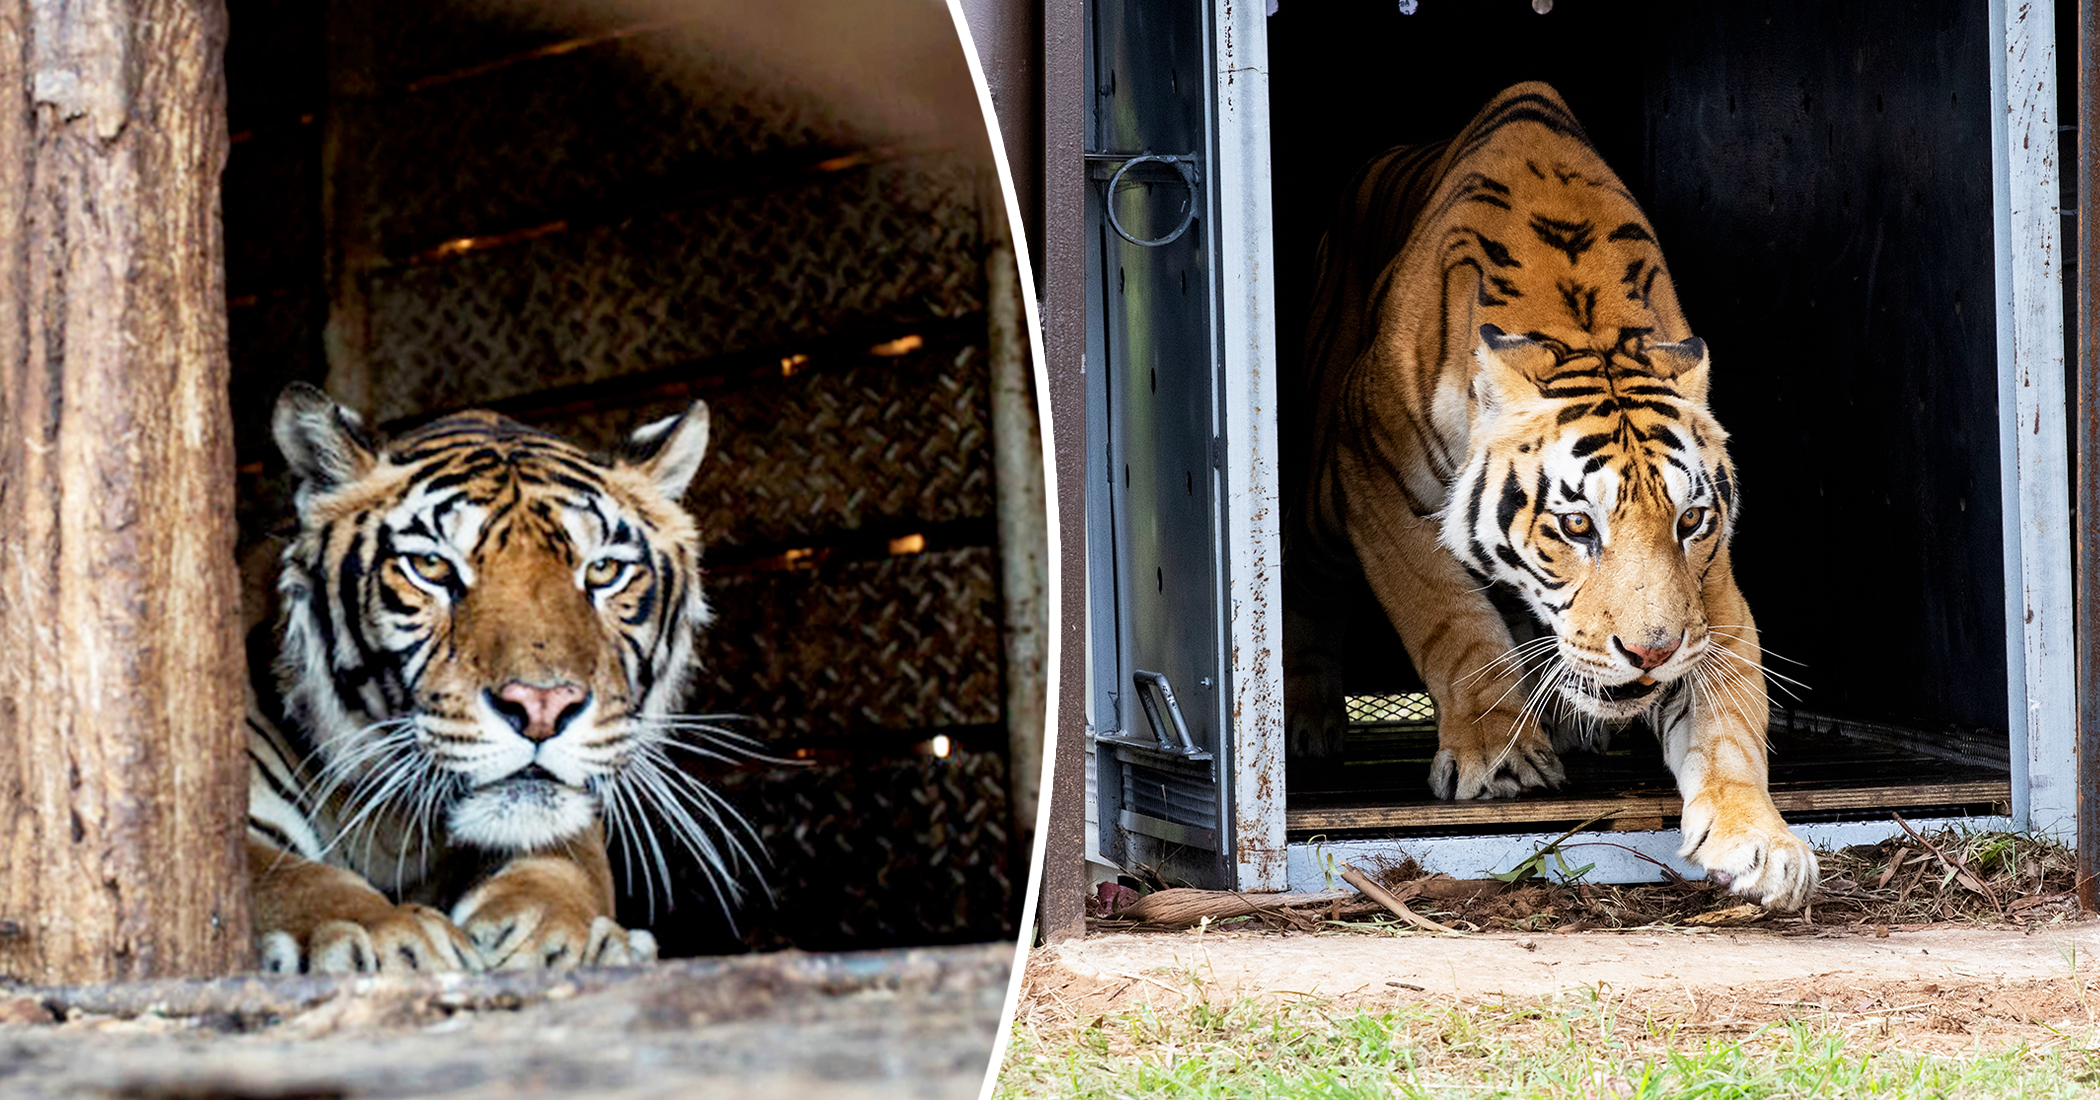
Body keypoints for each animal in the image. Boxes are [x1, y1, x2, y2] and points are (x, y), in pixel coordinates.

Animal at [245, 383, 763, 972]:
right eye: (430, 566)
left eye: (604, 571)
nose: (542, 707)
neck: (396, 828)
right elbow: (282, 879)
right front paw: (382, 937)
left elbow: (563, 862)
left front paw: (562, 934)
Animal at [1282, 82, 1817, 910]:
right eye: (1576, 526)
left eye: (1691, 520)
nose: (1651, 652)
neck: (1586, 326)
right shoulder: (1379, 489)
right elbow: (1453, 625)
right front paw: (1499, 757)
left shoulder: (1708, 587)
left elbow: (1729, 712)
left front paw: (1758, 840)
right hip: (1319, 492)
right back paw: (1308, 723)